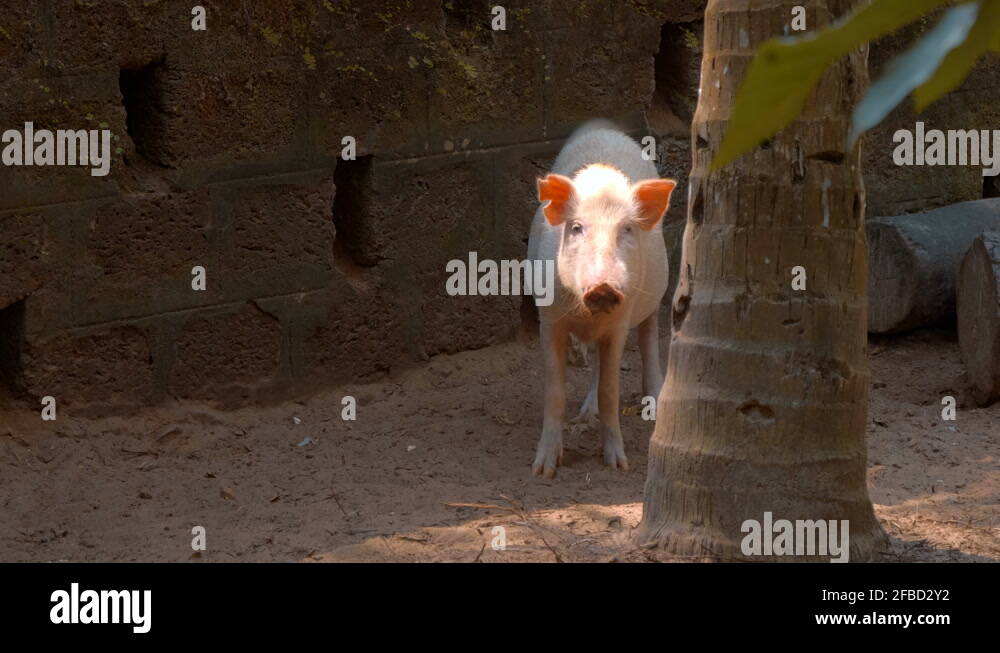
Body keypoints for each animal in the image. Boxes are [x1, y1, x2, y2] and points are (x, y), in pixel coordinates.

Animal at [526, 121, 676, 477]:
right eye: (577, 228)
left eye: (627, 230)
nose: (603, 286)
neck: (587, 315)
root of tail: (604, 128)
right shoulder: (548, 319)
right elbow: (555, 392)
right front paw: (544, 470)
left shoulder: (619, 324)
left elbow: (612, 391)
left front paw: (618, 465)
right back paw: (586, 414)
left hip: (655, 292)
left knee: (649, 338)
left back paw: (653, 404)